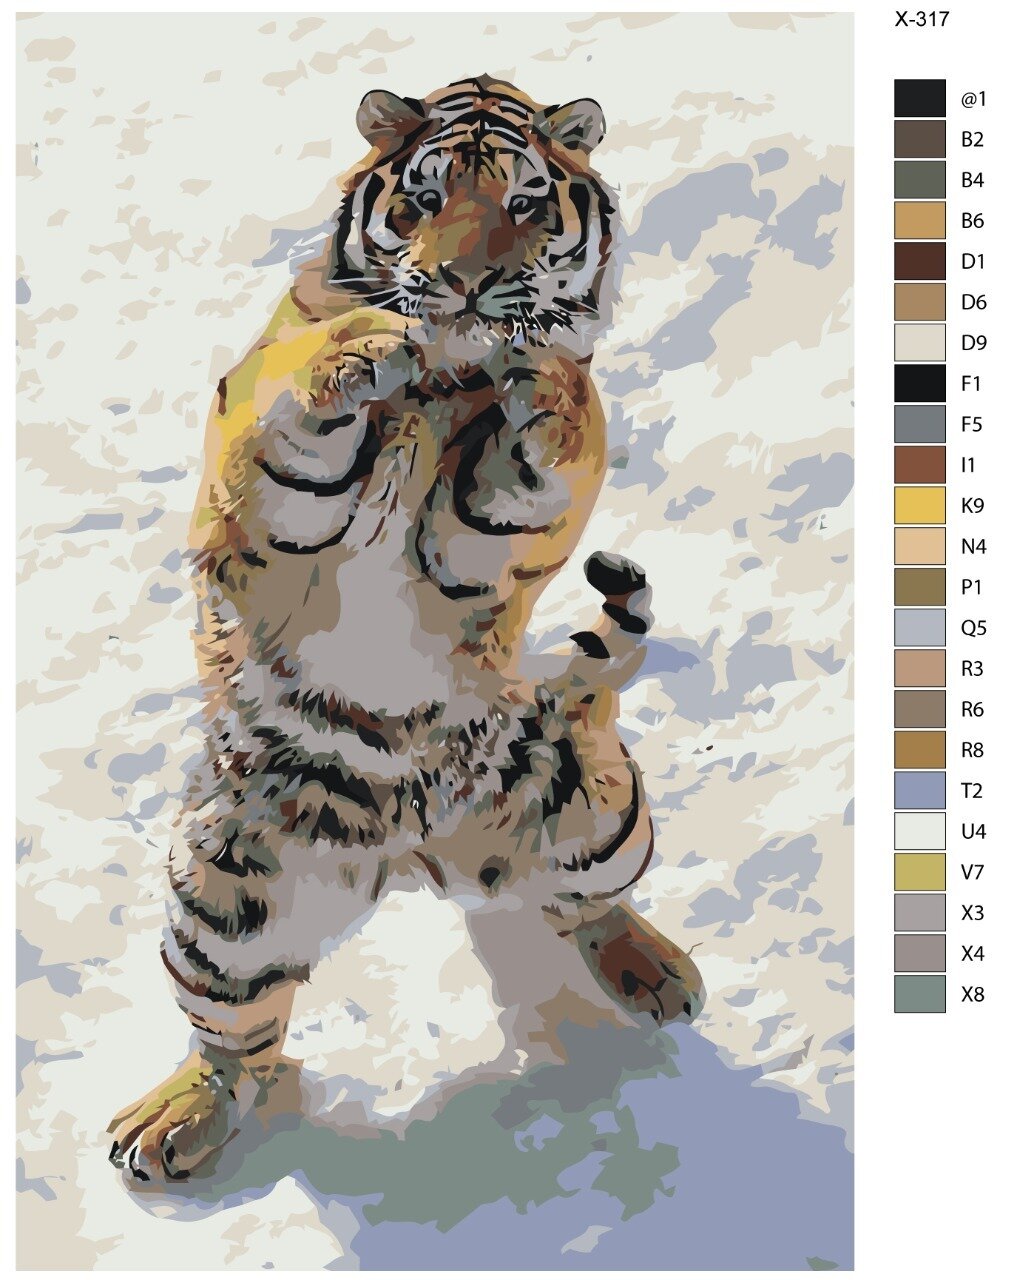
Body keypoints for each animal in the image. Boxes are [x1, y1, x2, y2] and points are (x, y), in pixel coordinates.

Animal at [108, 76, 704, 1184]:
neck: (443, 381)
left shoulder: (471, 545)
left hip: (599, 814)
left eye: (523, 204)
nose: (467, 284)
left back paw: (655, 972)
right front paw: (363, 347)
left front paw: (544, 378)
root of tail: (425, 851)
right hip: (218, 906)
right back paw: (171, 1122)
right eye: (424, 199)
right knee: (238, 1046)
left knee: (587, 901)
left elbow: (542, 441)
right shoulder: (268, 482)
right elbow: (300, 400)